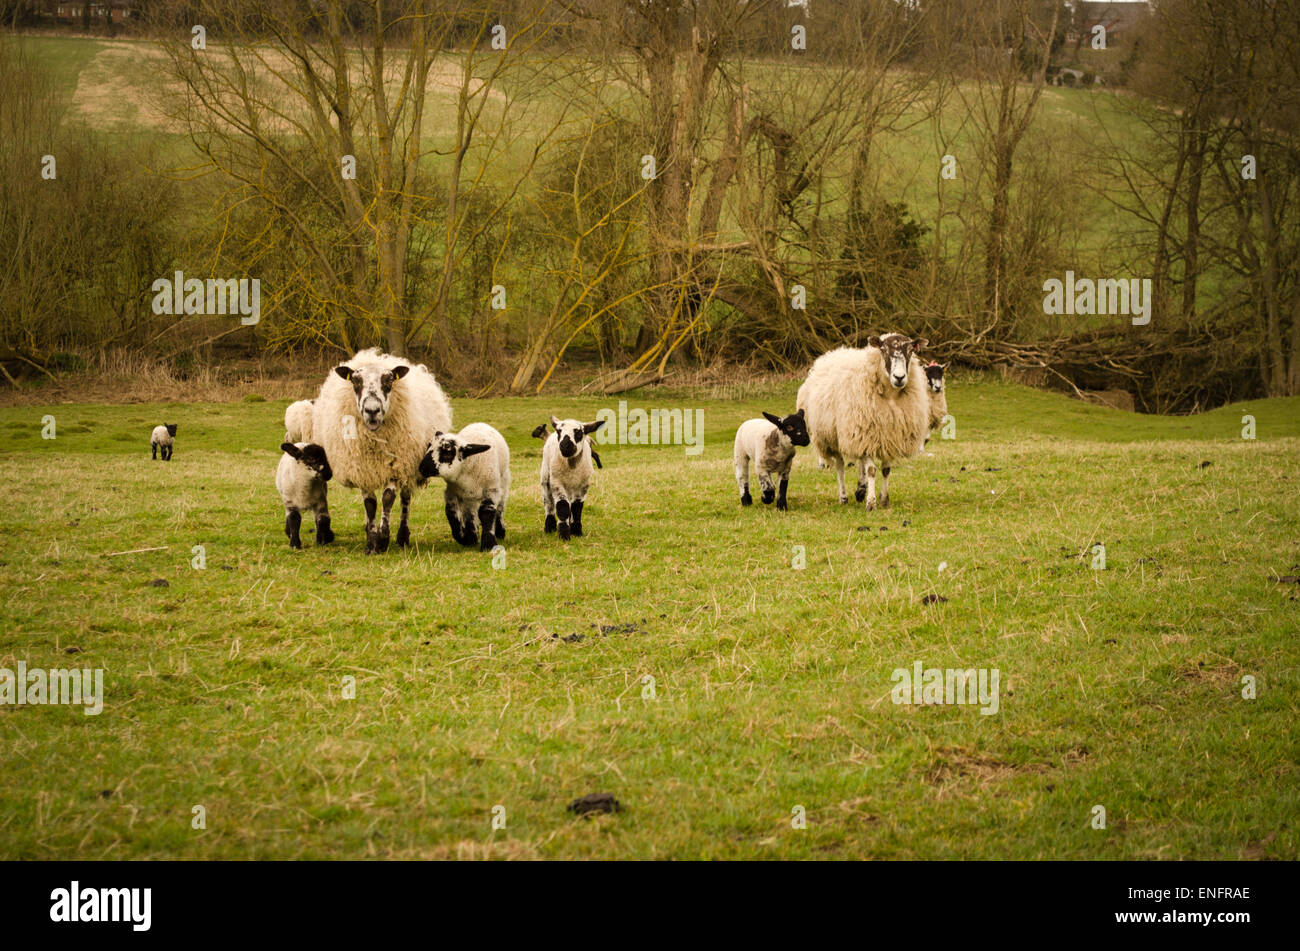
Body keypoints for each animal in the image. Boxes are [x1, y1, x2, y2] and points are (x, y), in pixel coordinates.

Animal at [311, 348, 452, 553]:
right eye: (355, 381)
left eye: (389, 381)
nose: (372, 410)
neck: (374, 443)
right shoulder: (363, 470)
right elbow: (370, 505)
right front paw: (371, 542)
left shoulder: (396, 465)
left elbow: (387, 499)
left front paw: (383, 539)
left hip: (409, 465)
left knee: (405, 498)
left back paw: (402, 536)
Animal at [418, 423, 511, 551]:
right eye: (429, 445)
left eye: (447, 453)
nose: (422, 468)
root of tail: (480, 423)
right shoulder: (452, 491)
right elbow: (451, 512)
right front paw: (463, 538)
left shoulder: (491, 490)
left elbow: (486, 512)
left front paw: (488, 544)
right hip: (468, 496)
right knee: (470, 512)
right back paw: (472, 536)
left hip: (503, 482)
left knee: (500, 507)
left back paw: (500, 531)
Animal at [796, 333, 930, 510]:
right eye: (883, 350)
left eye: (910, 350)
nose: (899, 377)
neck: (891, 396)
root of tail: (832, 354)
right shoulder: (867, 434)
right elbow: (872, 470)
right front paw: (871, 503)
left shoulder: (888, 436)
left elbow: (886, 470)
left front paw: (884, 499)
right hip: (835, 435)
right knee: (840, 465)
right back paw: (844, 497)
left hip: (858, 433)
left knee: (860, 461)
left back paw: (861, 488)